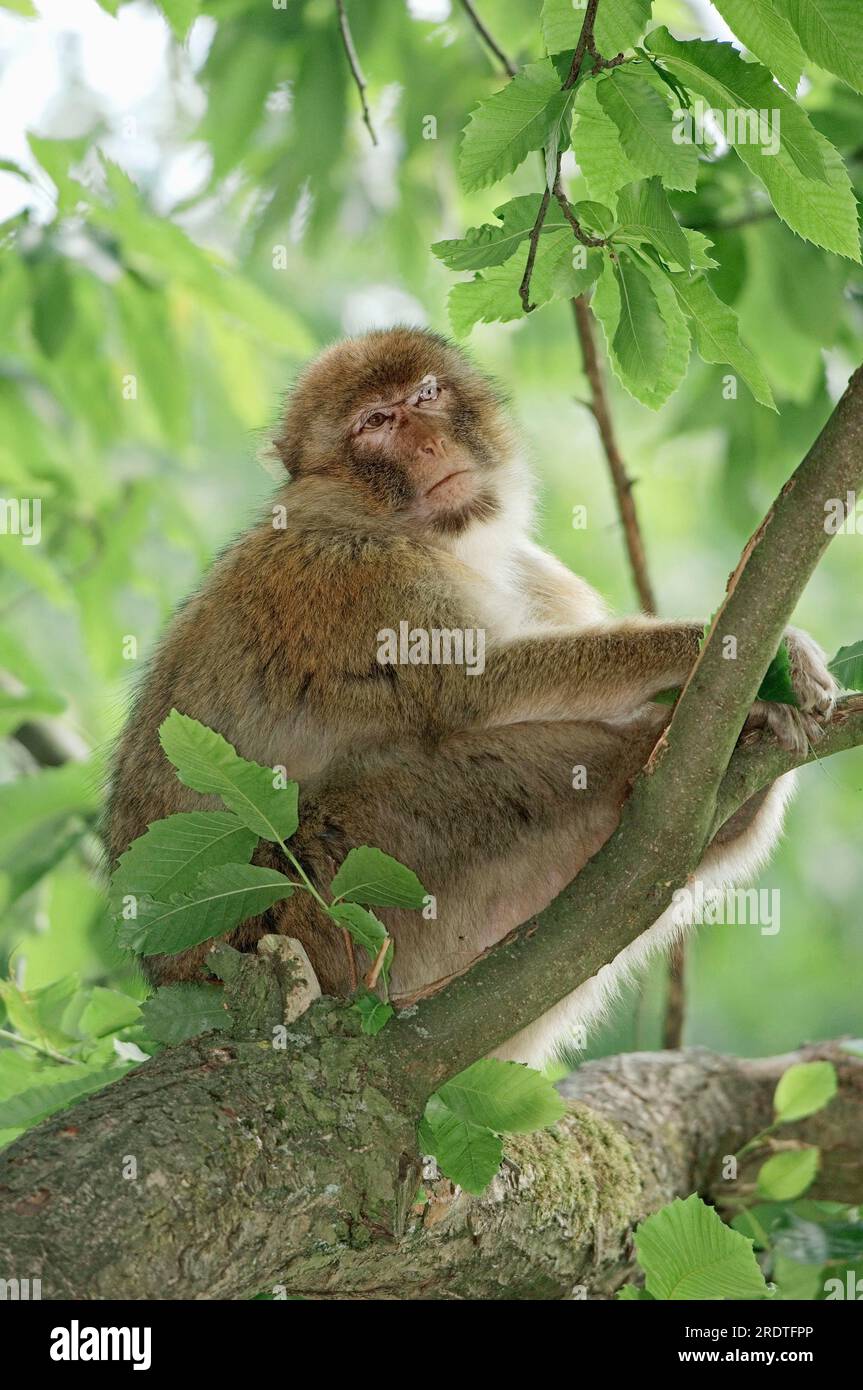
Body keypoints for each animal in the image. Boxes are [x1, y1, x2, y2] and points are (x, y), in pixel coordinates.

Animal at [106, 326, 838, 1067]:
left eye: (424, 395)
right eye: (374, 422)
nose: (428, 444)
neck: (425, 534)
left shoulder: (530, 570)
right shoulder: (352, 575)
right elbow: (475, 692)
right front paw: (722, 648)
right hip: (331, 901)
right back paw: (654, 765)